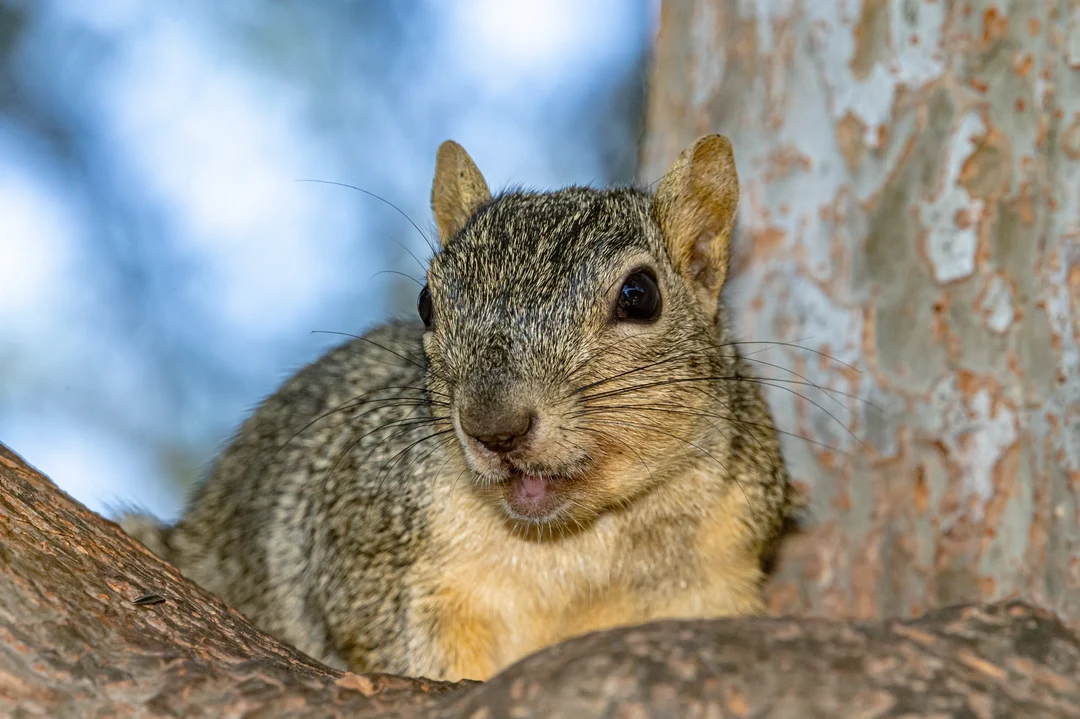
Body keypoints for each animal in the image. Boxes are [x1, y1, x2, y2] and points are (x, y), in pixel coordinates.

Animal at [120, 134, 796, 683]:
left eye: (639, 294)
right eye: (426, 302)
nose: (494, 427)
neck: (575, 538)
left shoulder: (718, 571)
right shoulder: (373, 558)